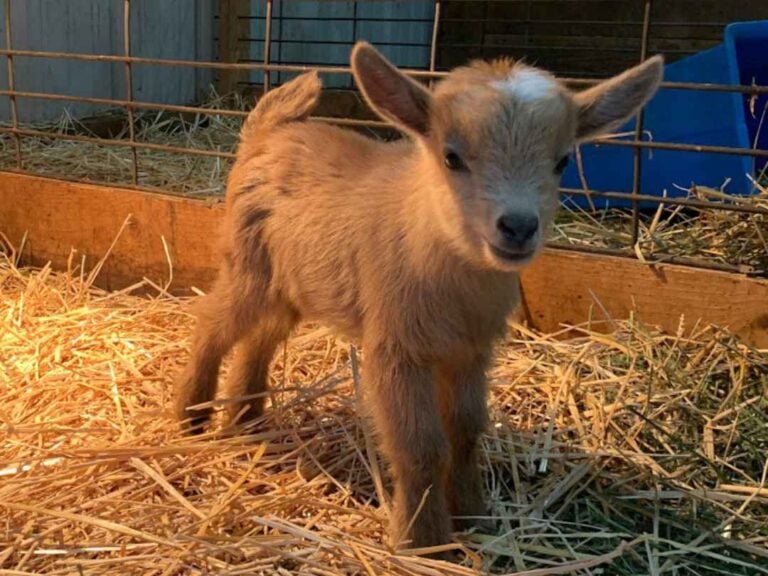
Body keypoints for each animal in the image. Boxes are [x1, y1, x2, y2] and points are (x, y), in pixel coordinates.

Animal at [175, 41, 663, 551]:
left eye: (563, 160)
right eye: (451, 157)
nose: (517, 227)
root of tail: (269, 131)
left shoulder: (470, 352)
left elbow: (465, 432)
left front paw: (473, 514)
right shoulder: (397, 349)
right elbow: (420, 448)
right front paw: (422, 539)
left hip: (292, 285)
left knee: (262, 337)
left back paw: (246, 417)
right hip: (248, 267)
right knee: (212, 323)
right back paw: (191, 414)